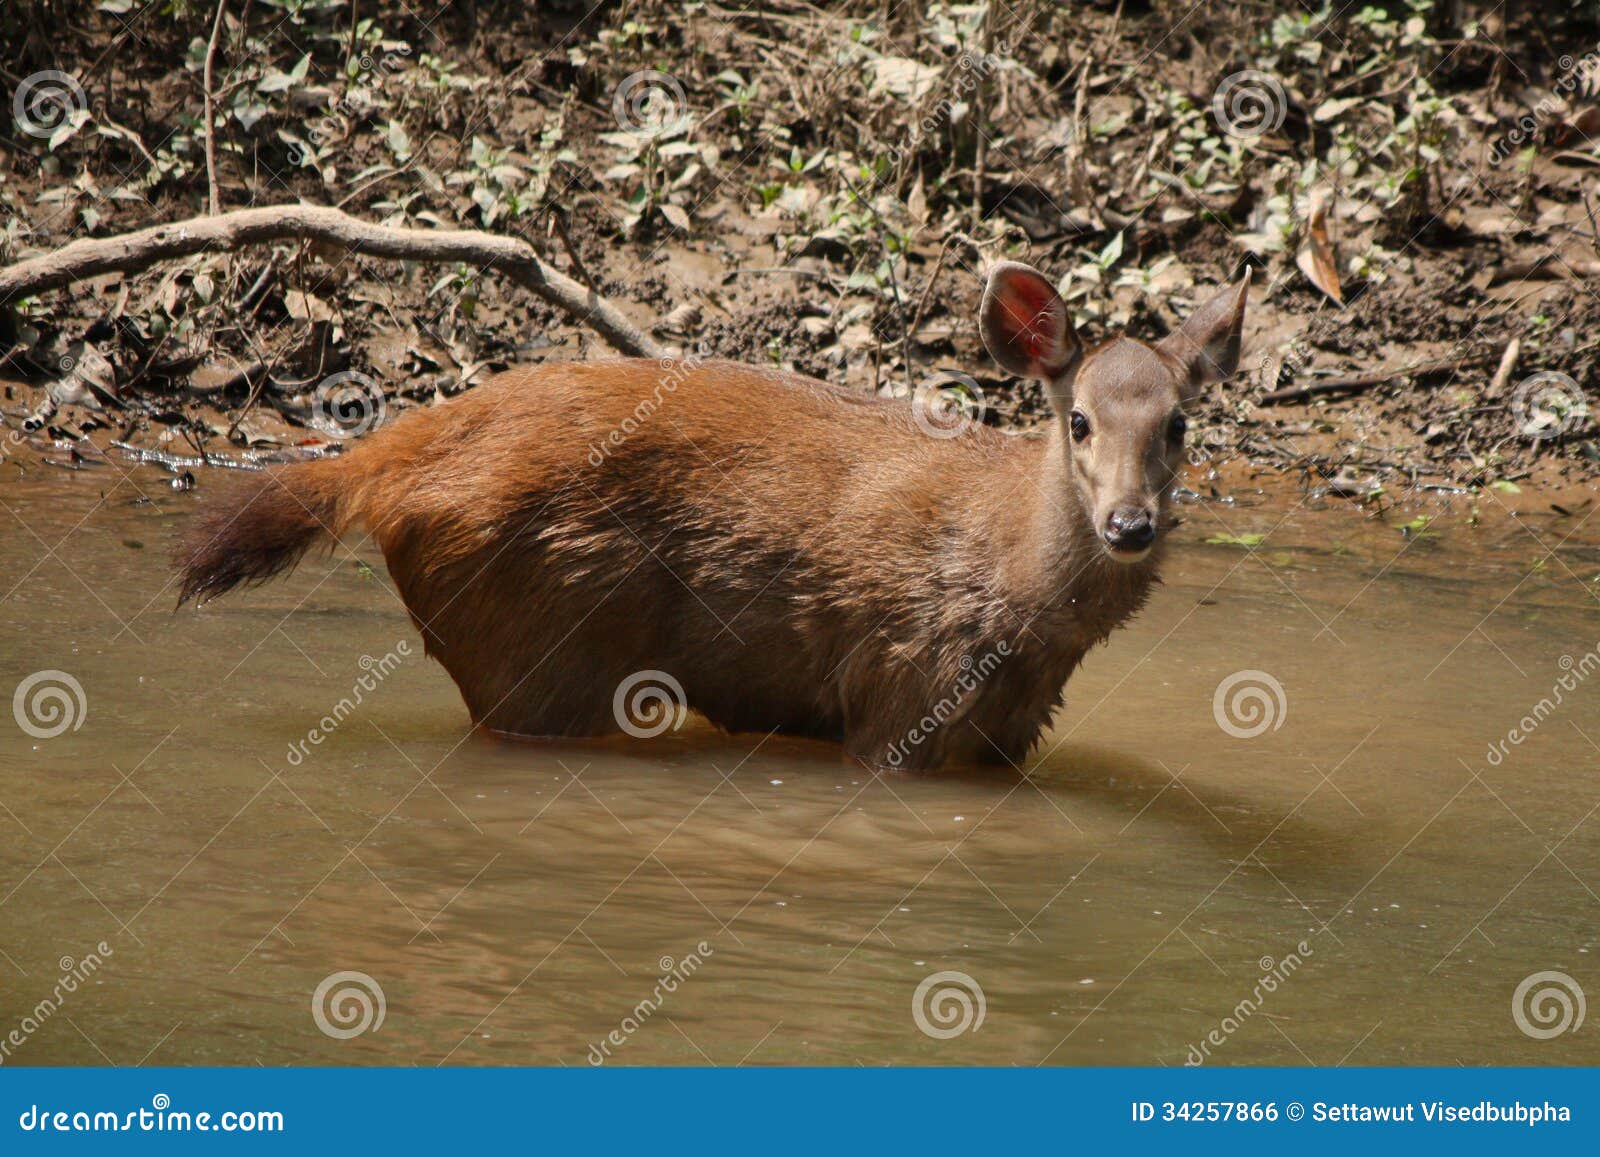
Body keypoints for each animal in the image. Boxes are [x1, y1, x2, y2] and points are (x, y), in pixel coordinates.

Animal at [175, 260, 1249, 770]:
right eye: (1078, 419)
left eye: (1179, 424)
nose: (1128, 525)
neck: (1020, 604)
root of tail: (386, 462)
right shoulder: (902, 691)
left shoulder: (1006, 732)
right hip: (538, 647)